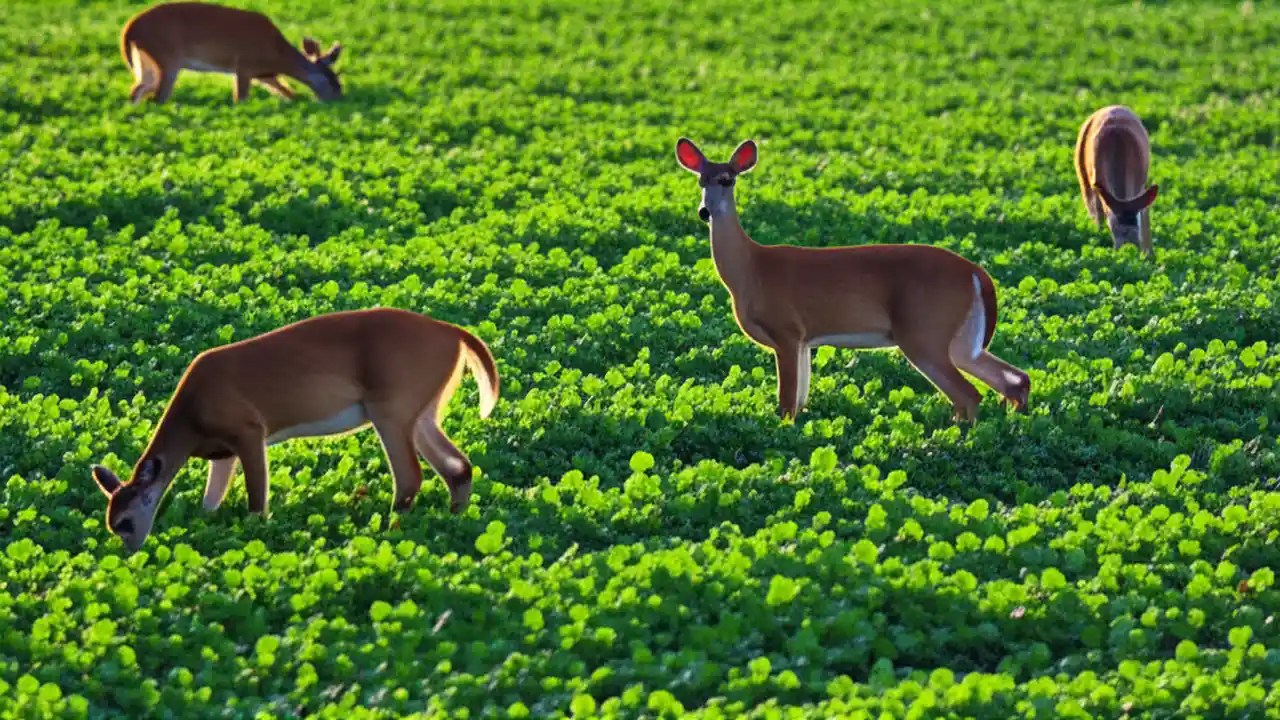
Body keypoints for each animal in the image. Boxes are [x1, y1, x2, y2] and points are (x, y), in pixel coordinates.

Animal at [89, 308, 499, 552]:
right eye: (111, 523)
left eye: (125, 521)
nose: (131, 551)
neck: (192, 418)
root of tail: (455, 333)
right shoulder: (223, 453)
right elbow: (211, 501)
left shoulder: (249, 429)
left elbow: (257, 499)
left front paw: (255, 534)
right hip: (424, 409)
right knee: (458, 467)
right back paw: (452, 521)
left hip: (392, 406)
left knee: (411, 474)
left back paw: (387, 530)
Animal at [120, 2, 344, 105]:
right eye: (330, 80)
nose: (340, 99)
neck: (276, 55)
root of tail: (130, 29)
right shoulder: (244, 66)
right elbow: (240, 98)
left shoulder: (263, 74)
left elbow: (287, 92)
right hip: (167, 56)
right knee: (157, 97)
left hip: (146, 60)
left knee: (138, 90)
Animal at [675, 137, 1030, 423]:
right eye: (700, 181)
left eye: (726, 179)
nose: (704, 212)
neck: (751, 270)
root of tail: (978, 274)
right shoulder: (805, 339)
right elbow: (801, 400)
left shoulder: (787, 330)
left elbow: (787, 404)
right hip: (961, 340)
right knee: (1014, 378)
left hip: (924, 330)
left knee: (969, 393)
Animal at [1074, 105, 1159, 258]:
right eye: (1113, 226)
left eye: (1136, 224)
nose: (1129, 247)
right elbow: (1098, 215)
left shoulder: (1141, 185)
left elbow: (1145, 211)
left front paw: (1149, 254)